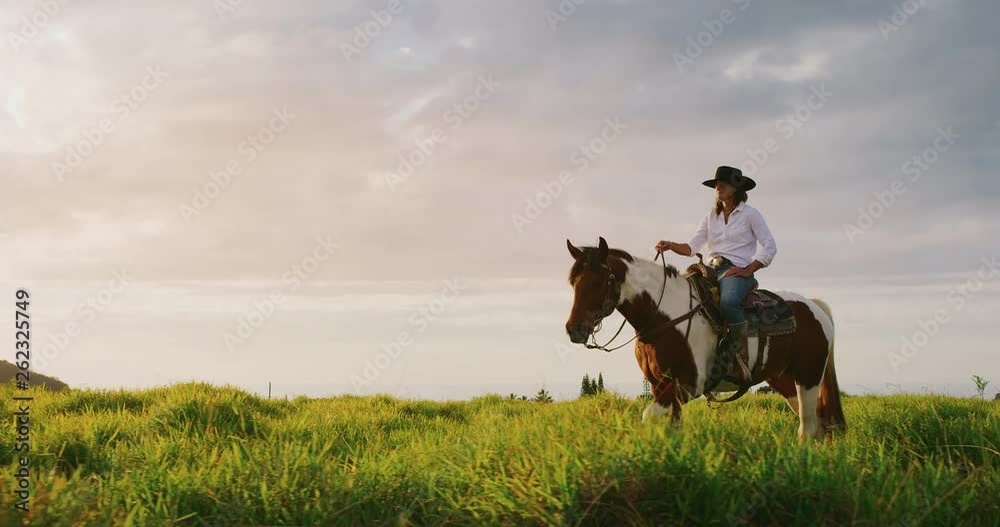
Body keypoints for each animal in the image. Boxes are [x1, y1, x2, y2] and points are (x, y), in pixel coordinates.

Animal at [564, 237, 846, 442]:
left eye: (598, 282)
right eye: (573, 283)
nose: (574, 330)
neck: (662, 315)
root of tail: (815, 306)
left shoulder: (687, 385)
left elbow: (647, 416)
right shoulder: (660, 386)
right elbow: (672, 426)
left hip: (808, 377)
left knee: (808, 427)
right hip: (783, 379)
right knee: (817, 422)